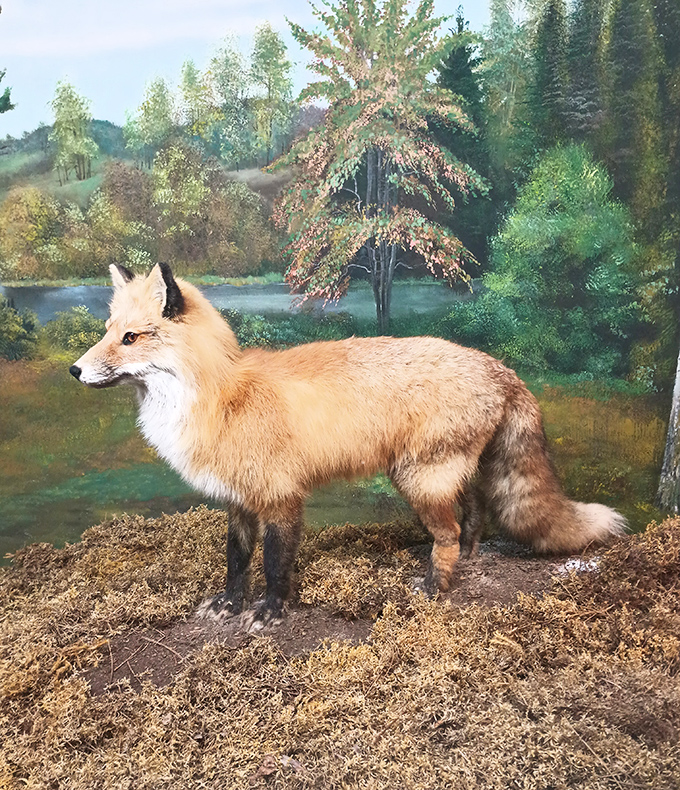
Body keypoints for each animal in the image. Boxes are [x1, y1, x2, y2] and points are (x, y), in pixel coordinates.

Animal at [70, 263, 626, 629]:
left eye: (130, 338)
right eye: (106, 332)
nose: (74, 370)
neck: (221, 396)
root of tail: (501, 367)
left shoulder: (281, 497)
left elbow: (275, 564)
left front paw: (270, 612)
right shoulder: (239, 501)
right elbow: (237, 560)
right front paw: (229, 605)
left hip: (419, 479)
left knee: (447, 532)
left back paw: (434, 586)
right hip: (444, 474)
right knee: (473, 513)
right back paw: (467, 560)